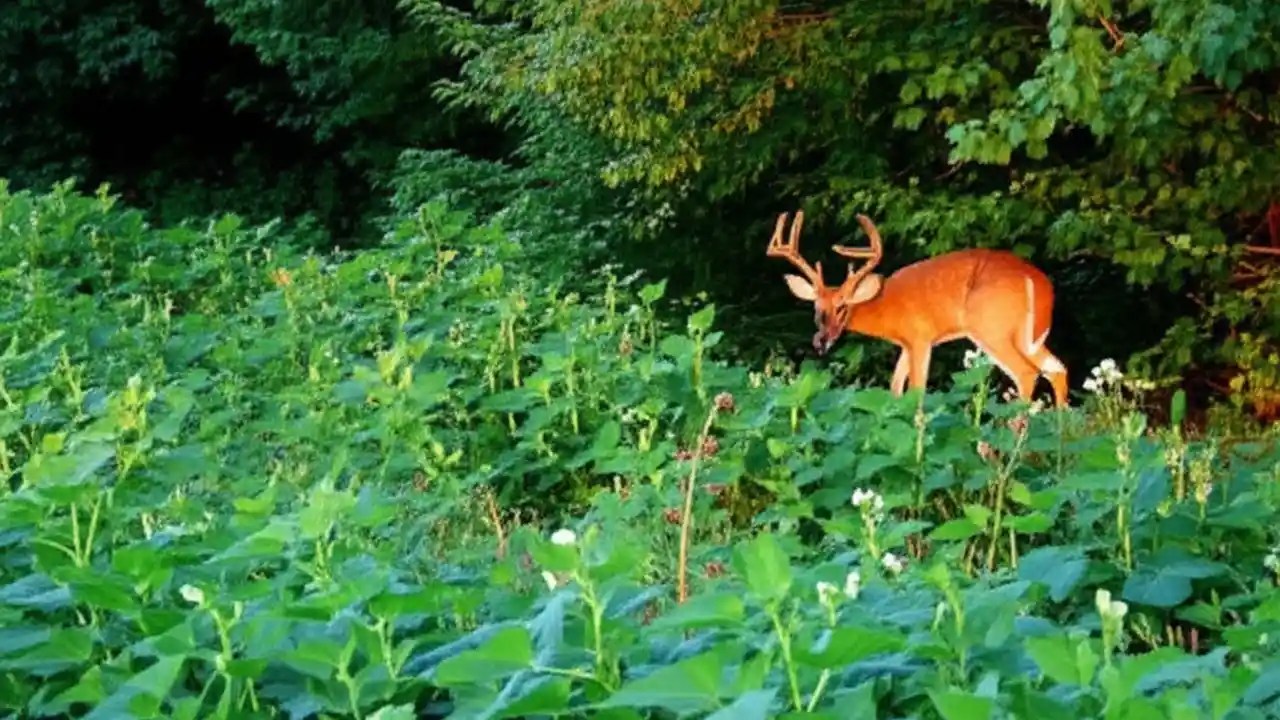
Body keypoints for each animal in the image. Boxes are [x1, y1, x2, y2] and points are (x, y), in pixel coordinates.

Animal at [766, 209, 1069, 407]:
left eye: (842, 307)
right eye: (816, 307)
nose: (821, 341)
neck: (885, 306)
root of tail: (1038, 282)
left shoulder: (921, 337)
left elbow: (917, 389)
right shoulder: (906, 345)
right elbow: (895, 388)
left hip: (992, 328)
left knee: (1027, 372)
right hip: (1029, 335)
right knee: (1057, 369)